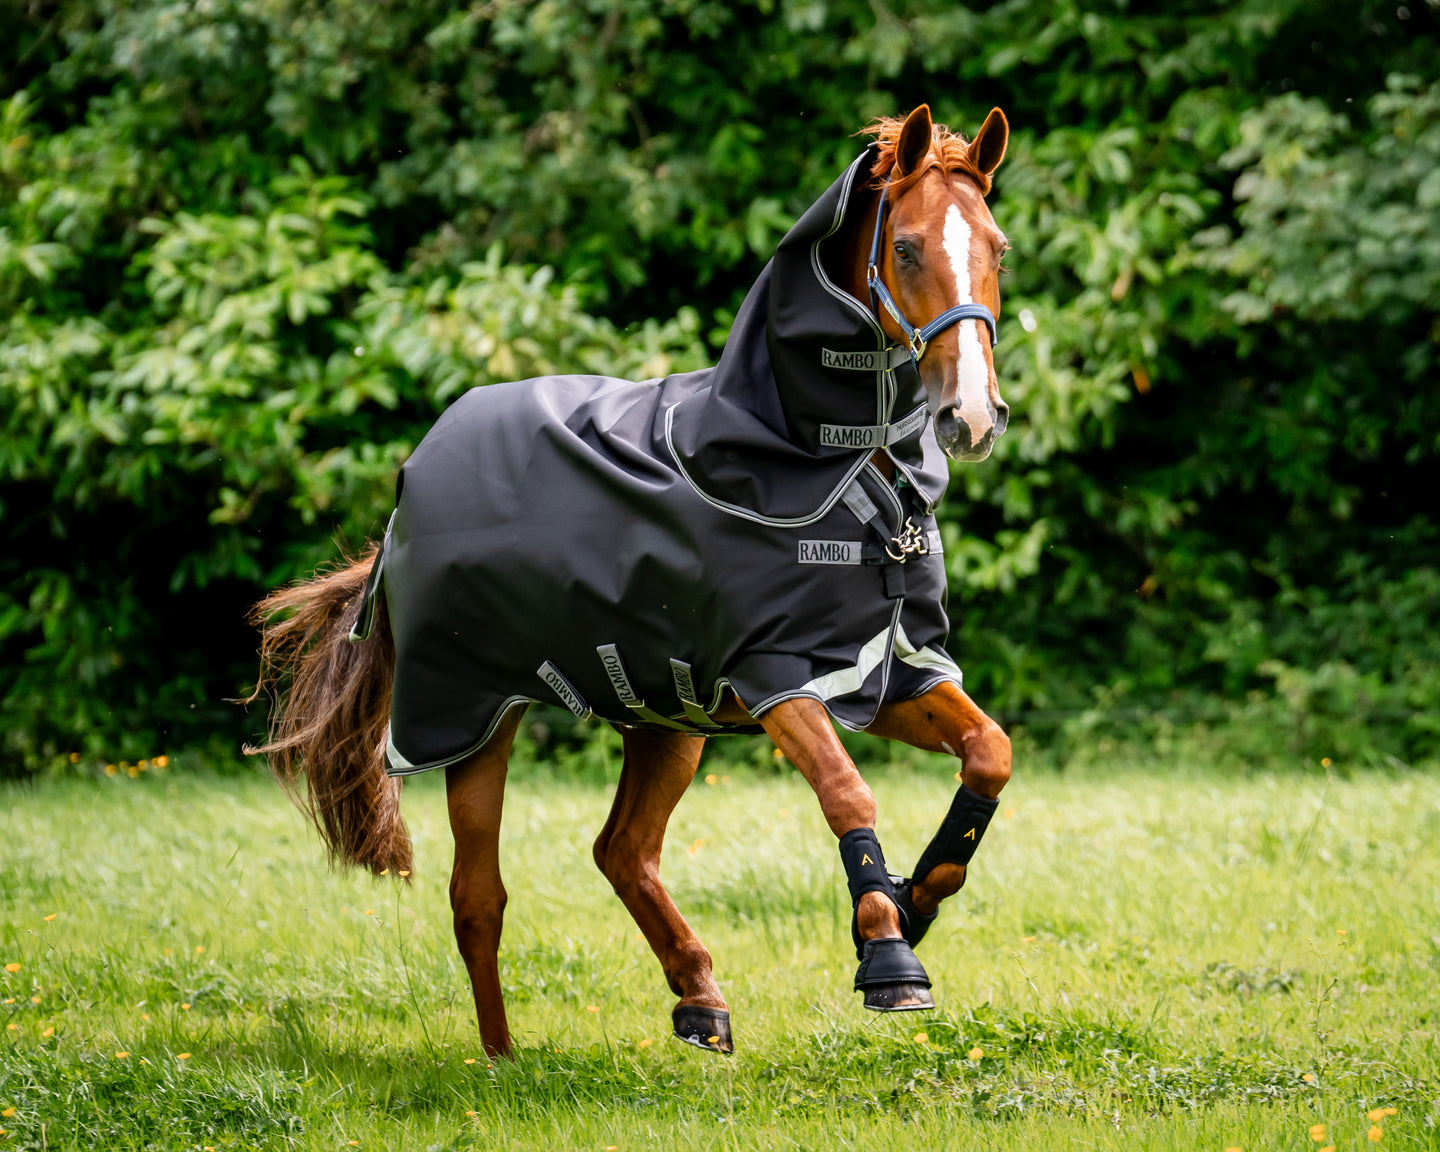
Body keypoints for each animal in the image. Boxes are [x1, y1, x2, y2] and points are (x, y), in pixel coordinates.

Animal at [246, 104, 1013, 1059]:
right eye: (905, 248)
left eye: (997, 248)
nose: (970, 416)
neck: (825, 465)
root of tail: (412, 478)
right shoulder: (778, 677)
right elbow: (846, 789)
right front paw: (887, 957)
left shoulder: (887, 672)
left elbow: (991, 752)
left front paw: (916, 901)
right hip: (474, 715)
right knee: (478, 896)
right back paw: (501, 1062)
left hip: (666, 719)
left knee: (621, 850)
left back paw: (701, 1001)